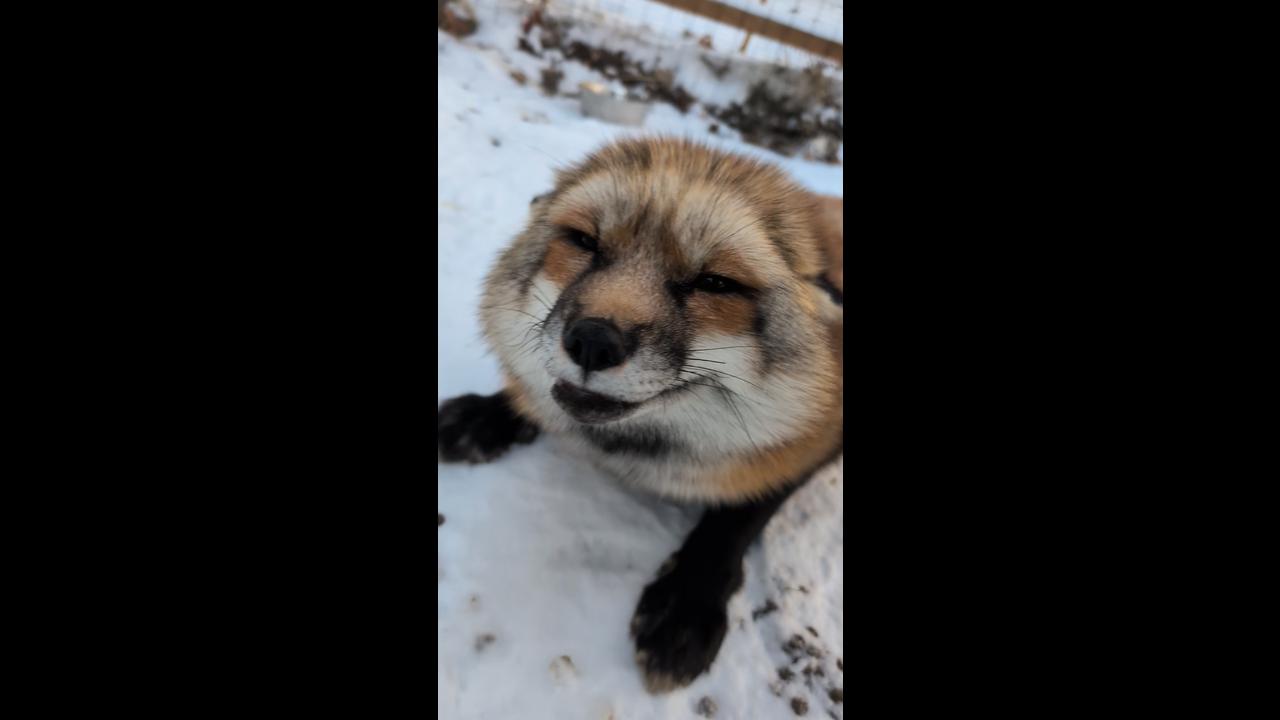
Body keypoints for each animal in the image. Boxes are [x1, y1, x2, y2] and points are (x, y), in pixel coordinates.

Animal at [437, 136, 843, 692]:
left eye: (716, 282)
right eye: (584, 241)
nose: (592, 341)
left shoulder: (817, 438)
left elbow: (737, 516)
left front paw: (686, 602)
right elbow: (533, 399)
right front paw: (485, 415)